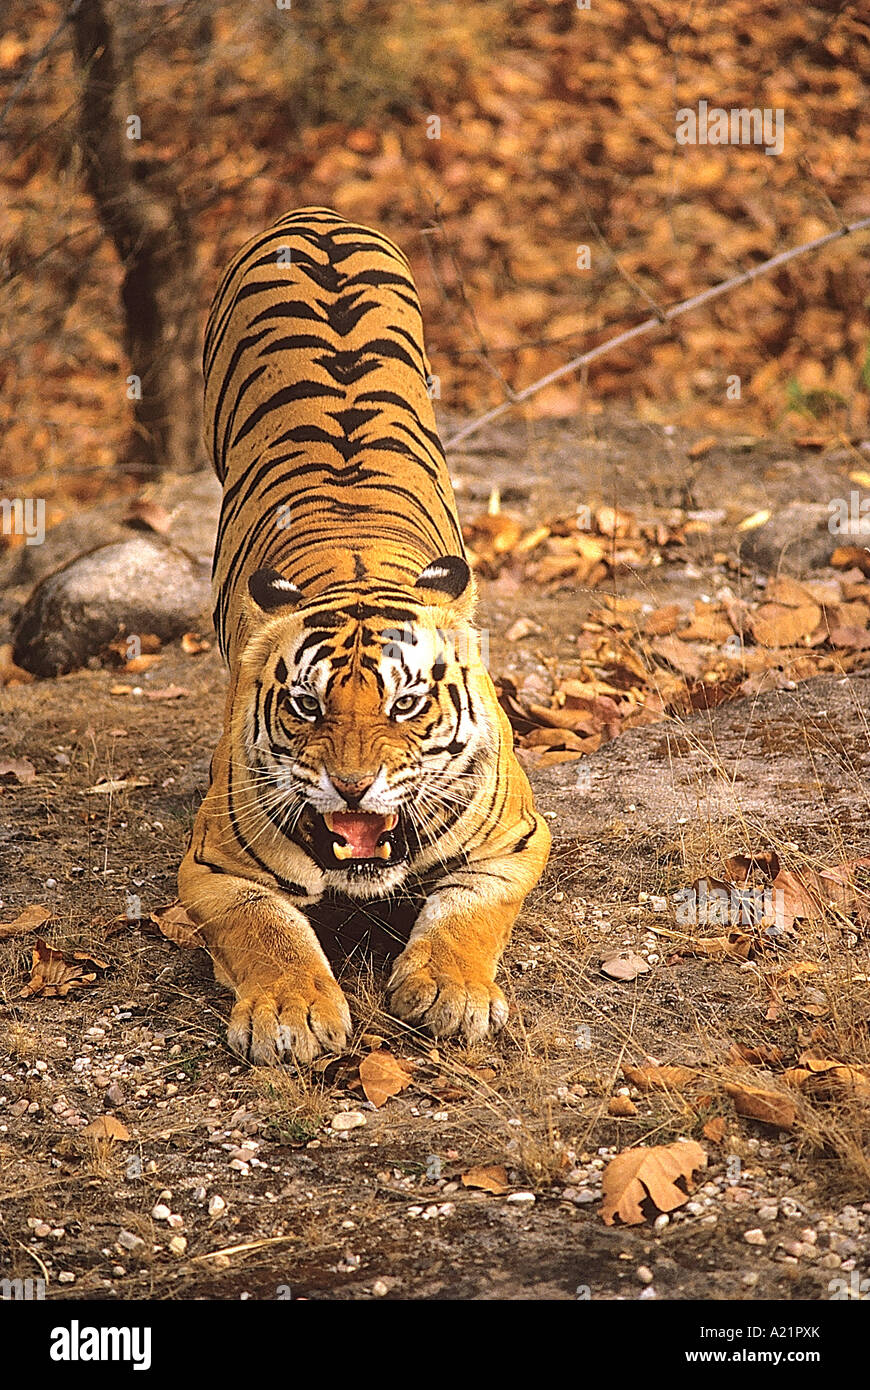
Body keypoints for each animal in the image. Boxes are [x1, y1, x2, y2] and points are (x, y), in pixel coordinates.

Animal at [178, 206, 551, 1065]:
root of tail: (310, 213)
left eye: (406, 704)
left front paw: (450, 992)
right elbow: (265, 930)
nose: (352, 788)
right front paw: (288, 1013)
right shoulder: (214, 864)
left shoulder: (515, 840)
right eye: (307, 707)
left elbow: (468, 913)